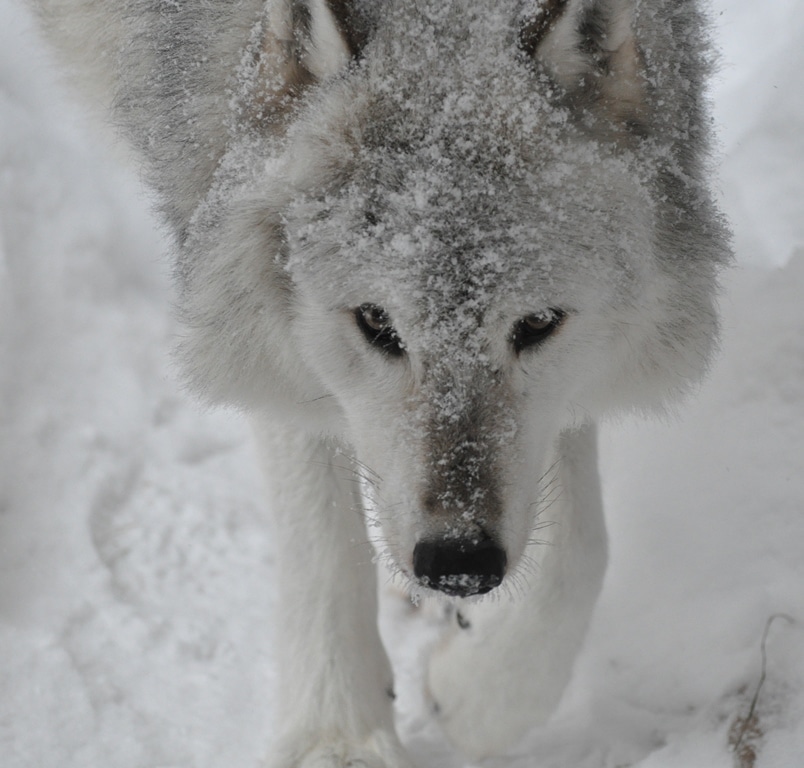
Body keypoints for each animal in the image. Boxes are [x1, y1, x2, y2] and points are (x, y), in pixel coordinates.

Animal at [32, 0, 730, 764]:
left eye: (538, 324)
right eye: (376, 323)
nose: (459, 562)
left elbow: (578, 547)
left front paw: (482, 696)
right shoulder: (270, 336)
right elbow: (323, 540)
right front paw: (337, 737)